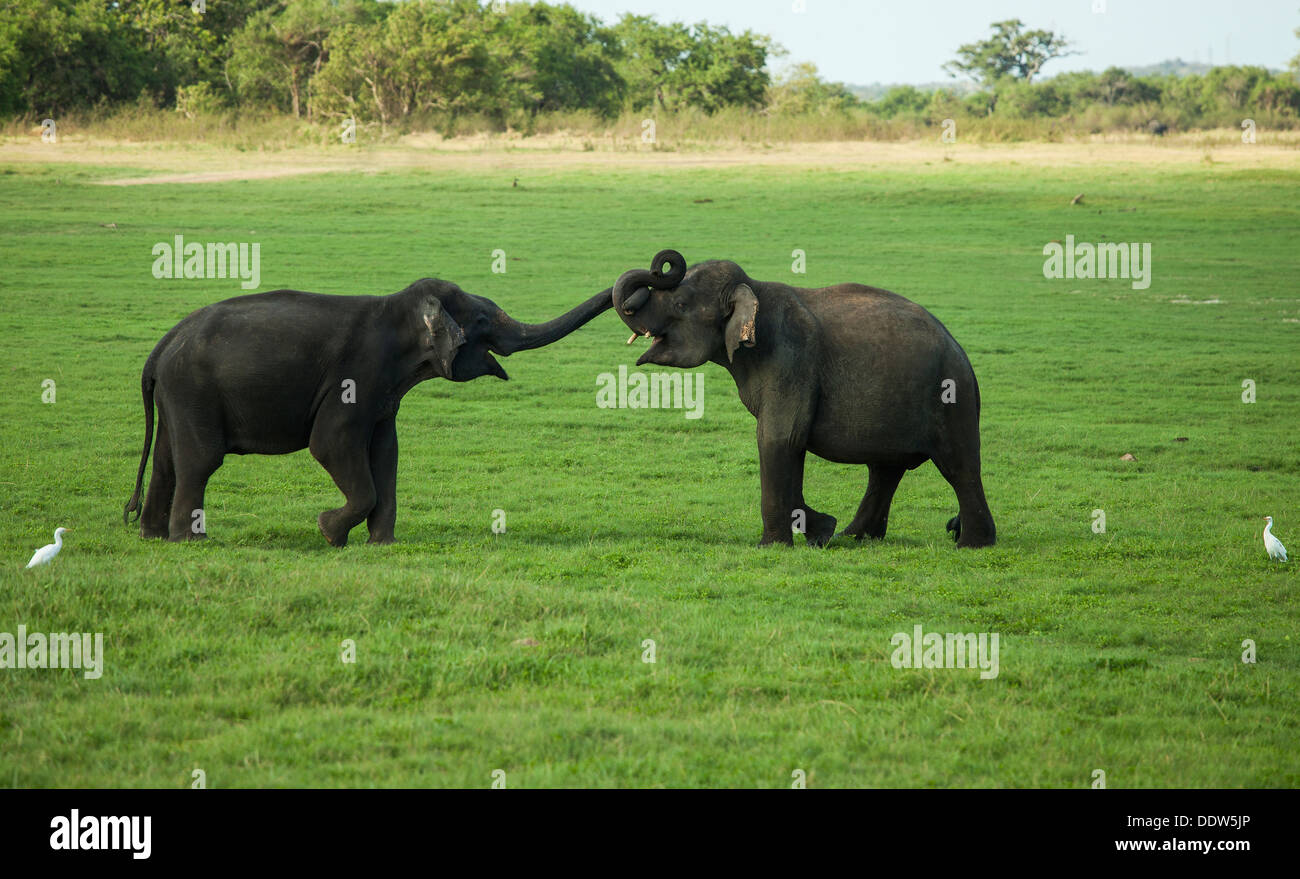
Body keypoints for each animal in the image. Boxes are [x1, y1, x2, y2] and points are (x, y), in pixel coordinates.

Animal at [123, 279, 612, 546]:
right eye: (481, 322)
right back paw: (191, 540)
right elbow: (331, 444)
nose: (625, 291)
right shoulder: (356, 377)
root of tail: (160, 348)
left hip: (178, 397)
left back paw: (152, 535)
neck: (397, 307)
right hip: (194, 391)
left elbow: (387, 454)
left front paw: (383, 544)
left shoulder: (383, 396)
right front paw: (328, 532)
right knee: (200, 462)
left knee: (167, 461)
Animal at [611, 250, 995, 548]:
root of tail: (961, 354)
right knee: (884, 470)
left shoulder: (791, 358)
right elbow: (788, 444)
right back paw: (851, 537)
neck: (754, 288)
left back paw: (971, 544)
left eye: (680, 303)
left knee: (958, 466)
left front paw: (773, 546)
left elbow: (778, 438)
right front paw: (819, 529)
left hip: (949, 399)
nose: (659, 268)